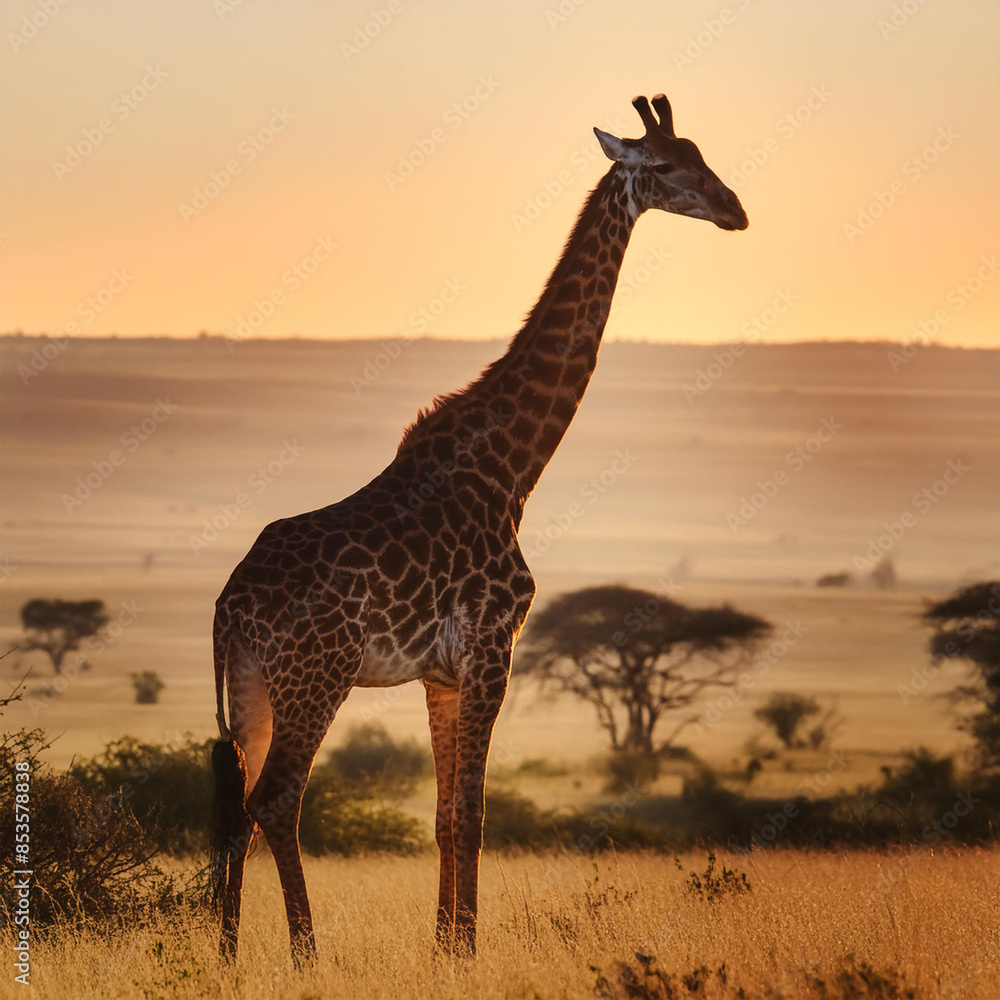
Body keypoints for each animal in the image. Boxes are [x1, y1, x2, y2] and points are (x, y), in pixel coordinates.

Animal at [209, 93, 747, 966]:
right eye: (668, 167)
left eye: (705, 155)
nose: (735, 209)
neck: (511, 467)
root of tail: (228, 607)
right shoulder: (495, 648)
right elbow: (475, 812)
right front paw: (467, 949)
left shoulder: (441, 673)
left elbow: (441, 816)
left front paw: (442, 947)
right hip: (316, 678)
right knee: (277, 801)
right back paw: (305, 951)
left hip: (253, 683)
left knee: (237, 805)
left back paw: (224, 953)